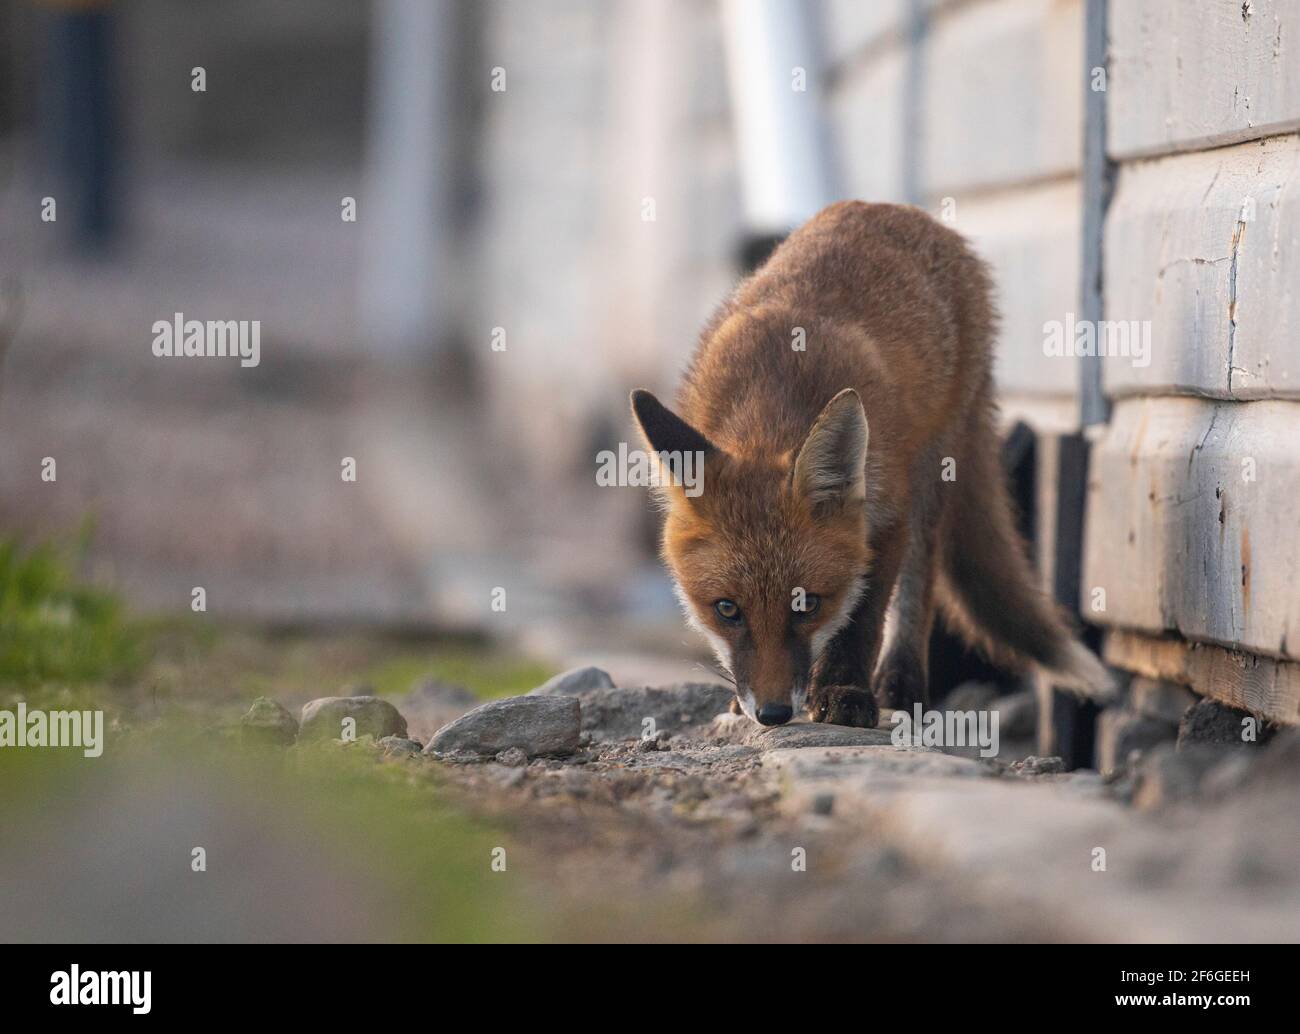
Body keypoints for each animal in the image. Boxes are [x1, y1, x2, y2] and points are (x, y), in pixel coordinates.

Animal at [631, 201, 1112, 728]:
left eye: (807, 605)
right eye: (727, 609)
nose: (774, 714)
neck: (769, 401)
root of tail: (889, 208)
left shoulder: (886, 511)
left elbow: (861, 619)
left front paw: (846, 693)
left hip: (933, 470)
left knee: (919, 586)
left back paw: (902, 684)